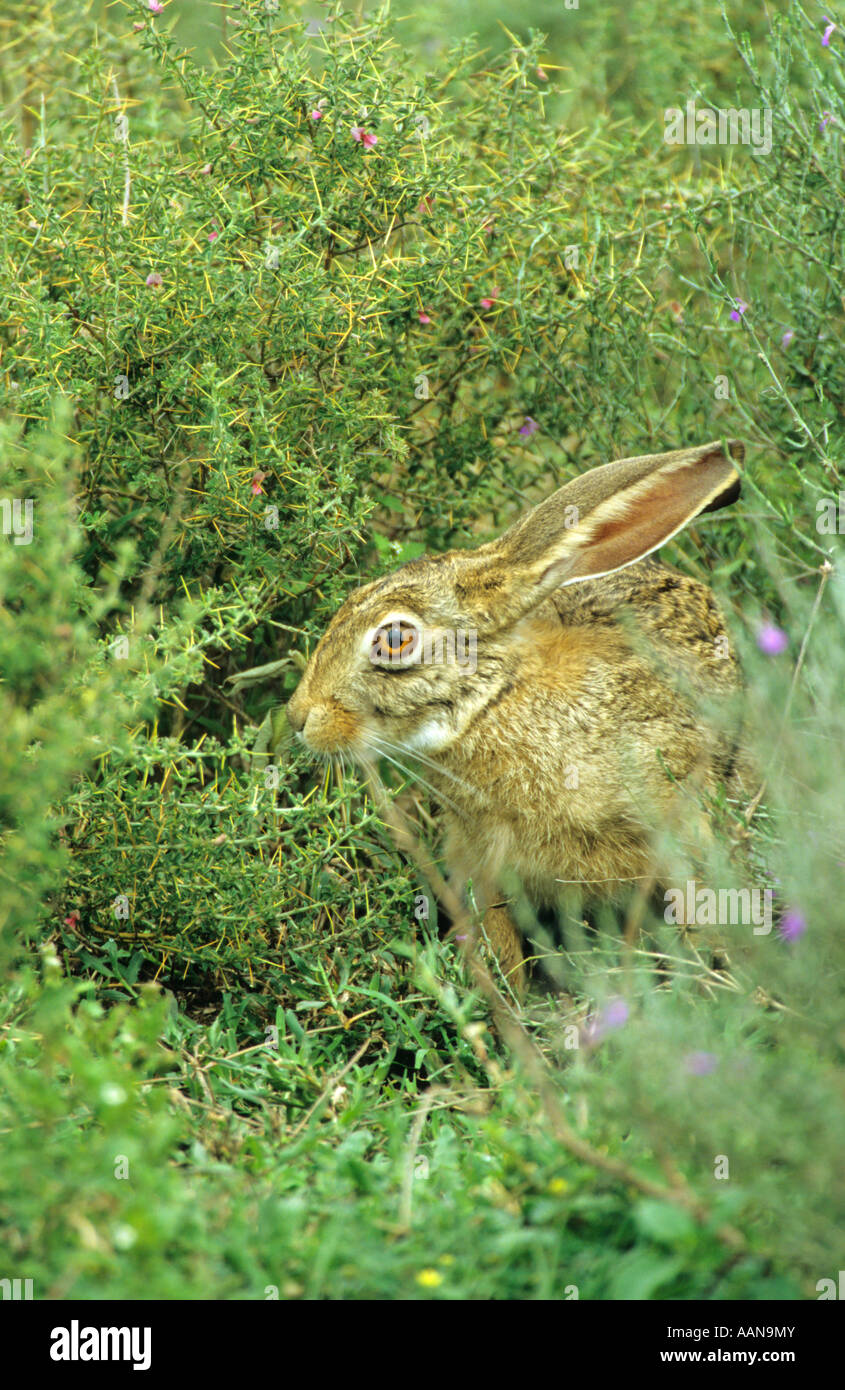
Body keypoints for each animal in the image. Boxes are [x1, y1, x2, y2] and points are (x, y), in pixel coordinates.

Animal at [286, 439, 751, 994]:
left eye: (395, 638)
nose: (298, 717)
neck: (497, 698)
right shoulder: (480, 863)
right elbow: (497, 942)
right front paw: (509, 1001)